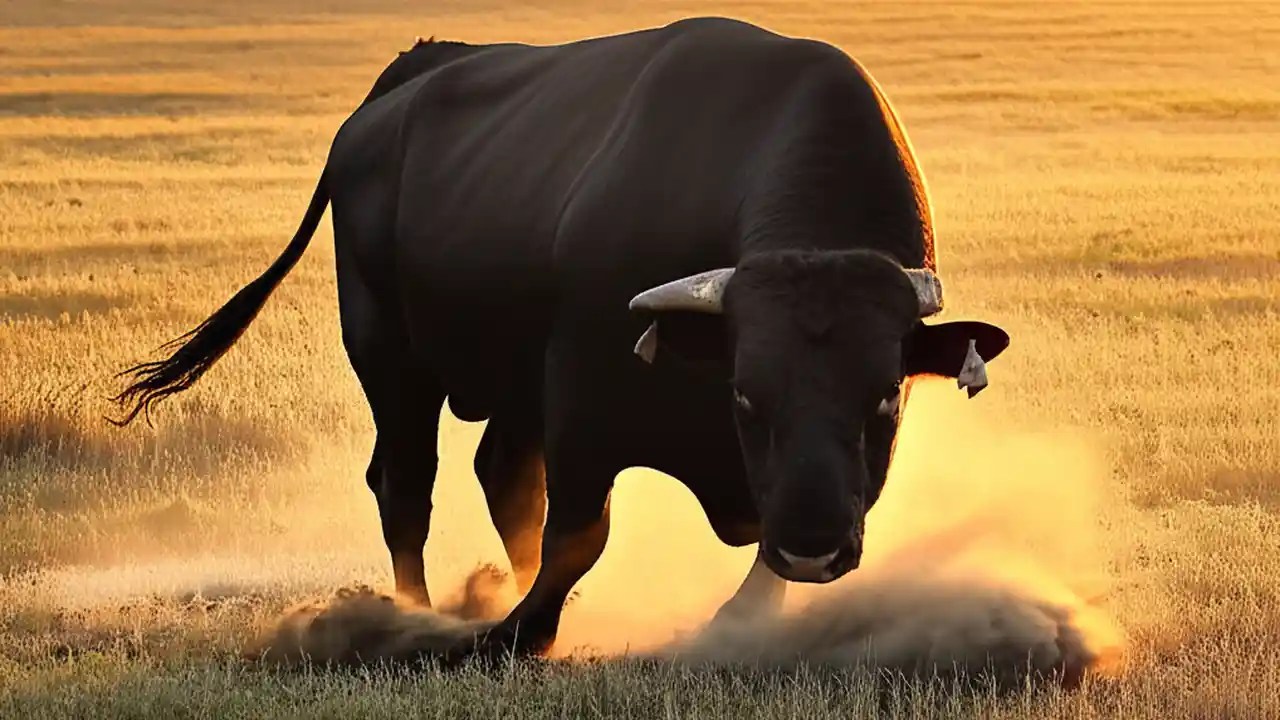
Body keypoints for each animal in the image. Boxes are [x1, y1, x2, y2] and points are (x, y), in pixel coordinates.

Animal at [113, 17, 1009, 660]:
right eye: (746, 397)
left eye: (885, 397)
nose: (818, 550)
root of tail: (398, 88)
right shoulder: (582, 387)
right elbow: (579, 529)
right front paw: (515, 635)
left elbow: (749, 539)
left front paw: (736, 619)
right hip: (389, 355)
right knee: (406, 482)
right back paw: (417, 613)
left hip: (510, 379)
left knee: (500, 472)